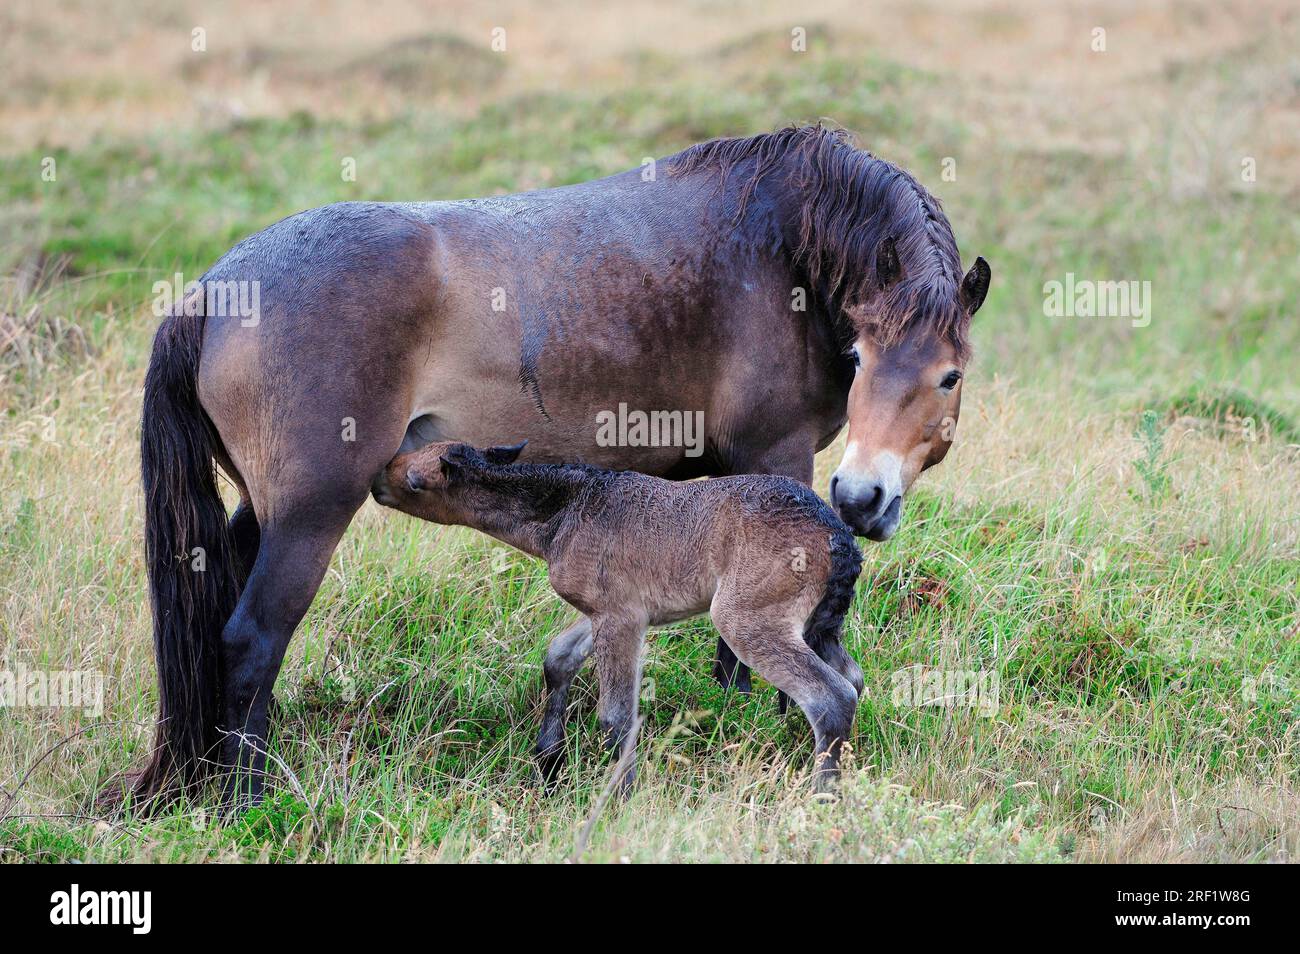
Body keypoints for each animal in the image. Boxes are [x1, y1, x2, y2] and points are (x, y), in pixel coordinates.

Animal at [373, 439, 865, 792]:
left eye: (415, 481)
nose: (378, 479)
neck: (566, 510)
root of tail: (838, 535)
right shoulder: (604, 611)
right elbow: (558, 658)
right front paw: (548, 761)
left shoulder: (621, 616)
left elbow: (616, 716)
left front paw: (618, 799)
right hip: (820, 626)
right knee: (854, 679)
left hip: (746, 618)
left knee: (831, 696)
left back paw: (822, 796)